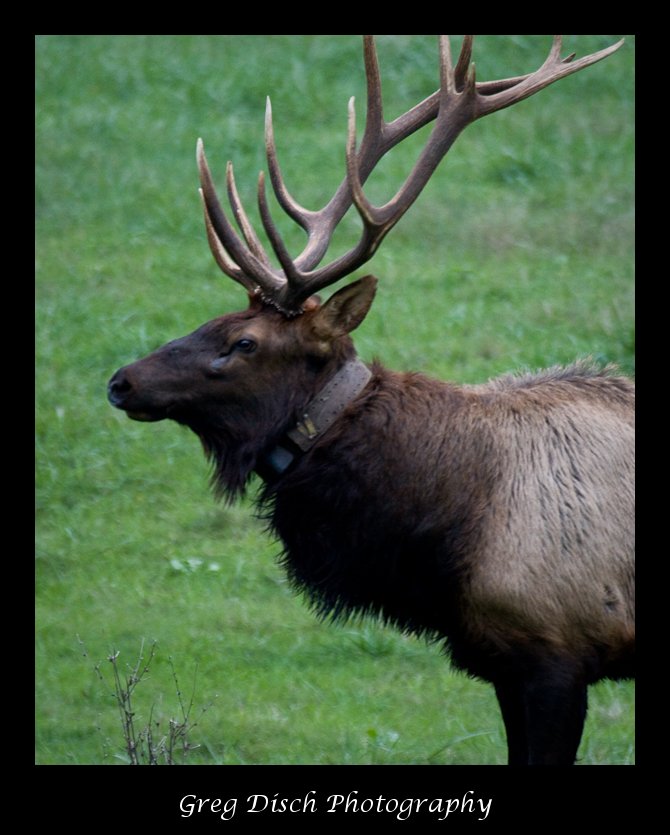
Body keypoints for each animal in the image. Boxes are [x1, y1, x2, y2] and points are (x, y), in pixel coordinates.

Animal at [107, 35, 633, 765]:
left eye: (243, 342)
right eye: (214, 319)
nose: (122, 380)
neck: (448, 531)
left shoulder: (557, 654)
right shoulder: (504, 662)